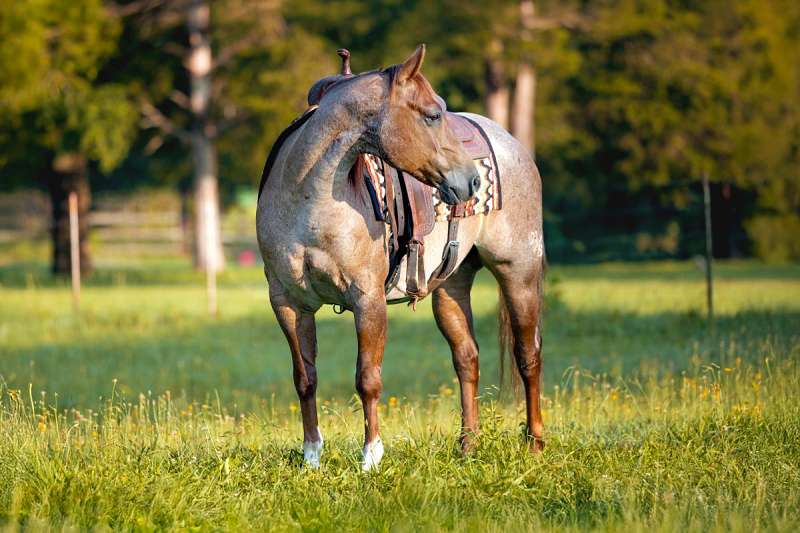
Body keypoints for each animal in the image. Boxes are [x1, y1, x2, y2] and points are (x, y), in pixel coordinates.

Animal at [256, 44, 545, 471]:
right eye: (432, 114)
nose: (473, 181)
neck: (309, 202)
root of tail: (509, 141)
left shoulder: (368, 299)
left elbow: (368, 379)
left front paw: (371, 457)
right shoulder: (288, 302)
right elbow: (305, 378)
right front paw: (311, 458)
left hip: (518, 272)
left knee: (528, 354)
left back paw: (536, 444)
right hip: (451, 285)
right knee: (467, 358)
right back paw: (467, 446)